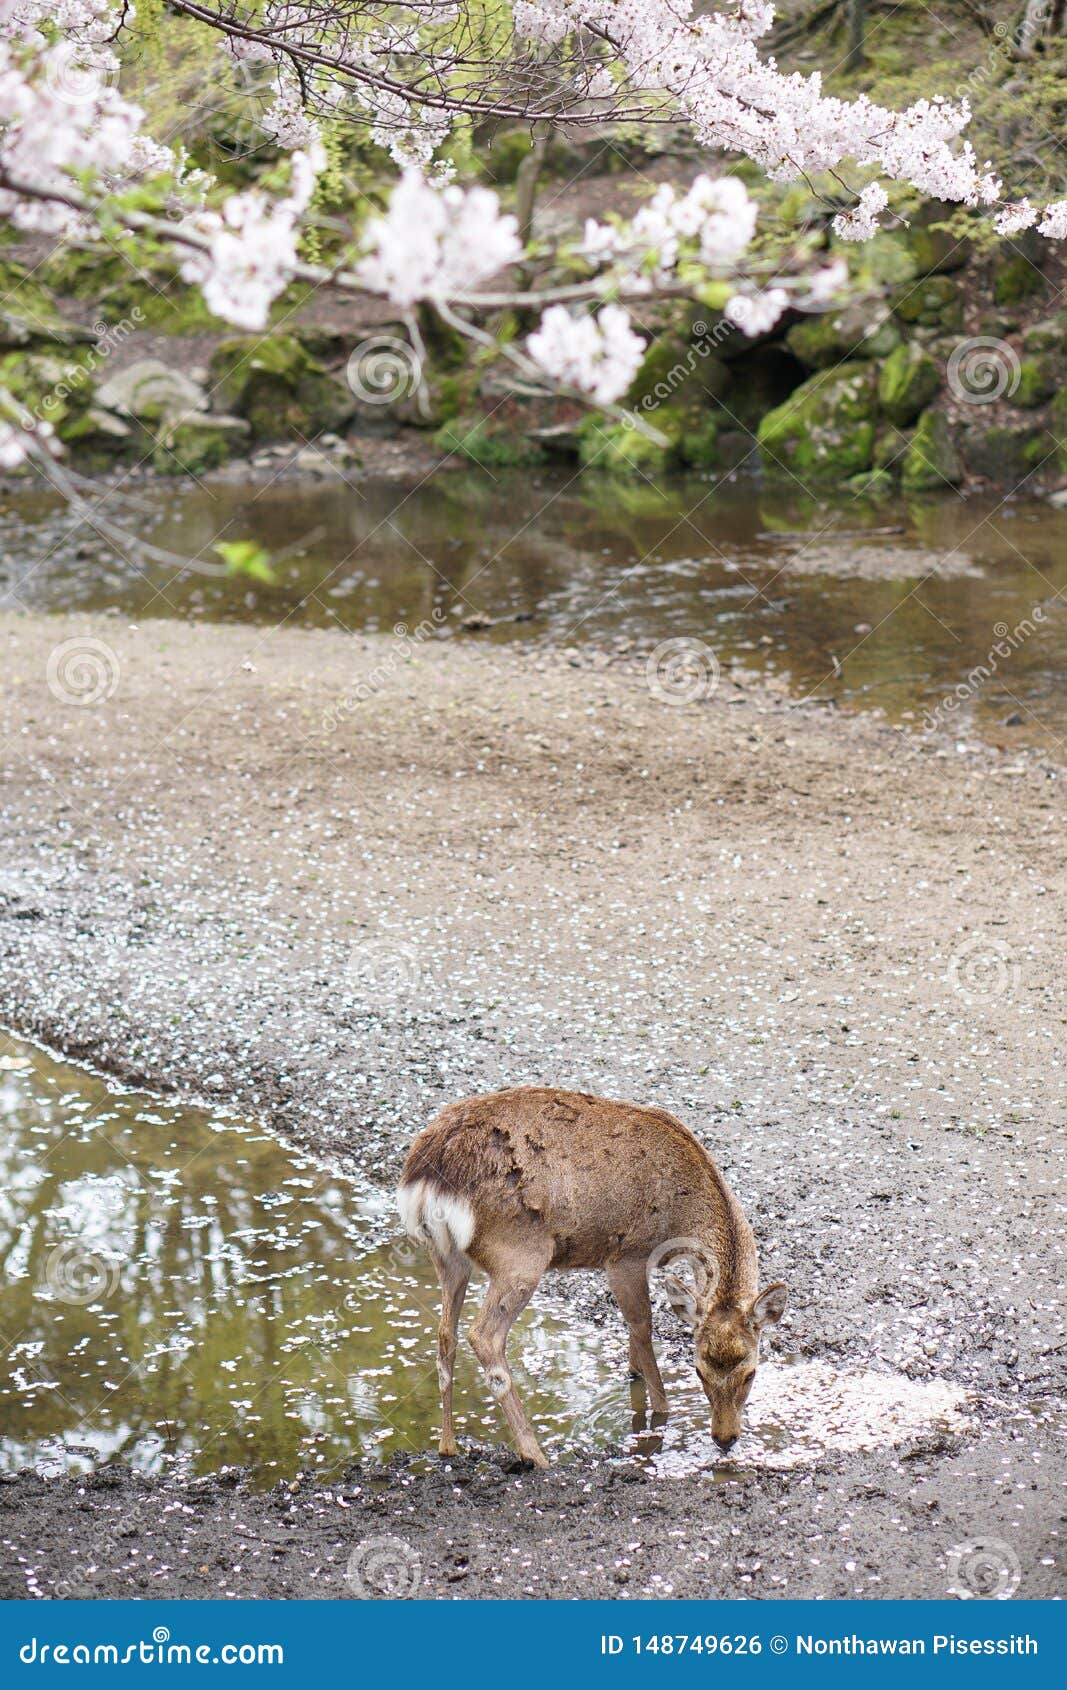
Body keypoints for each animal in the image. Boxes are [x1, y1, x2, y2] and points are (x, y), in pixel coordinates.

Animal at [397, 1086, 787, 1468]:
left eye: (750, 1373)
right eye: (699, 1371)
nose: (725, 1438)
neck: (680, 1218)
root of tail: (425, 1177)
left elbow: (634, 1331)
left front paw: (633, 1374)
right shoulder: (626, 1255)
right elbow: (642, 1326)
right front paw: (660, 1413)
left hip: (447, 1255)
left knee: (445, 1335)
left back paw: (448, 1447)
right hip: (519, 1255)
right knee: (484, 1336)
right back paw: (535, 1454)